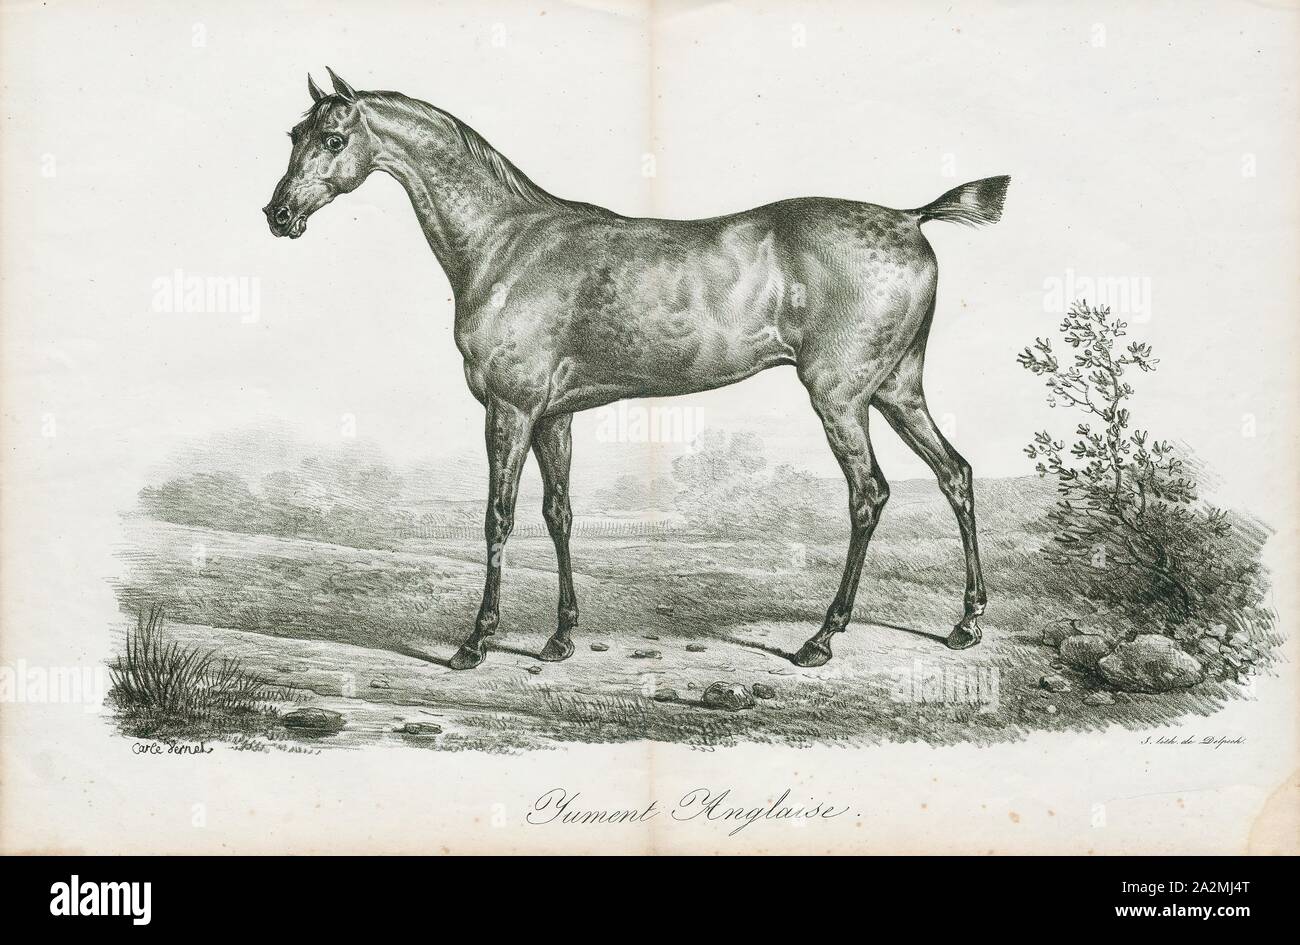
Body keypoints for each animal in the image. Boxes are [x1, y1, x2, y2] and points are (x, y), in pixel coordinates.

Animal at [263, 69, 1009, 671]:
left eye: (332, 138)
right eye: (294, 133)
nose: (278, 214)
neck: (507, 243)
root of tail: (910, 219)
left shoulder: (509, 408)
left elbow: (498, 517)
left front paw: (475, 642)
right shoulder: (553, 416)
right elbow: (559, 514)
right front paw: (560, 637)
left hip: (841, 398)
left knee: (869, 494)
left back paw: (821, 638)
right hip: (896, 389)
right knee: (955, 474)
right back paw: (965, 623)